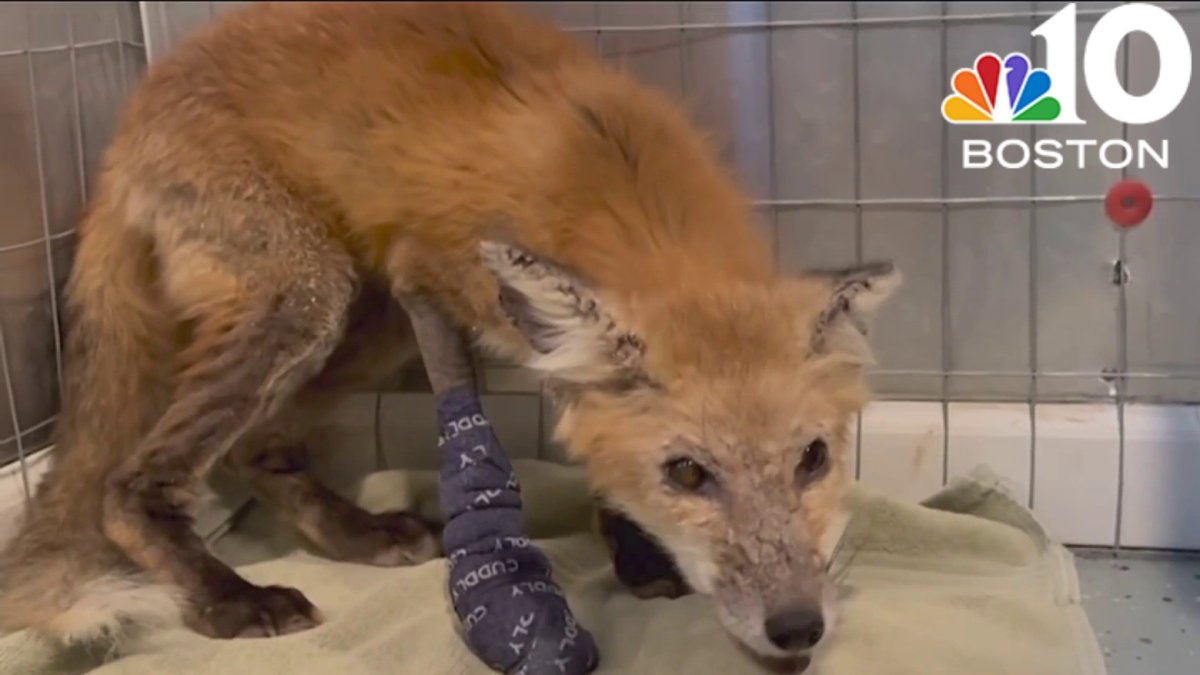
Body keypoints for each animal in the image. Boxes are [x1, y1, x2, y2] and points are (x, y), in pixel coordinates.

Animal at [0, 0, 900, 664]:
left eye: (813, 459)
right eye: (688, 473)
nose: (798, 627)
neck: (627, 189)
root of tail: (133, 109)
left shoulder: (527, 332)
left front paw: (636, 550)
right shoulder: (423, 277)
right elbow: (471, 416)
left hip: (358, 325)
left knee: (257, 449)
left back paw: (355, 534)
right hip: (312, 298)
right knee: (128, 483)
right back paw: (229, 598)